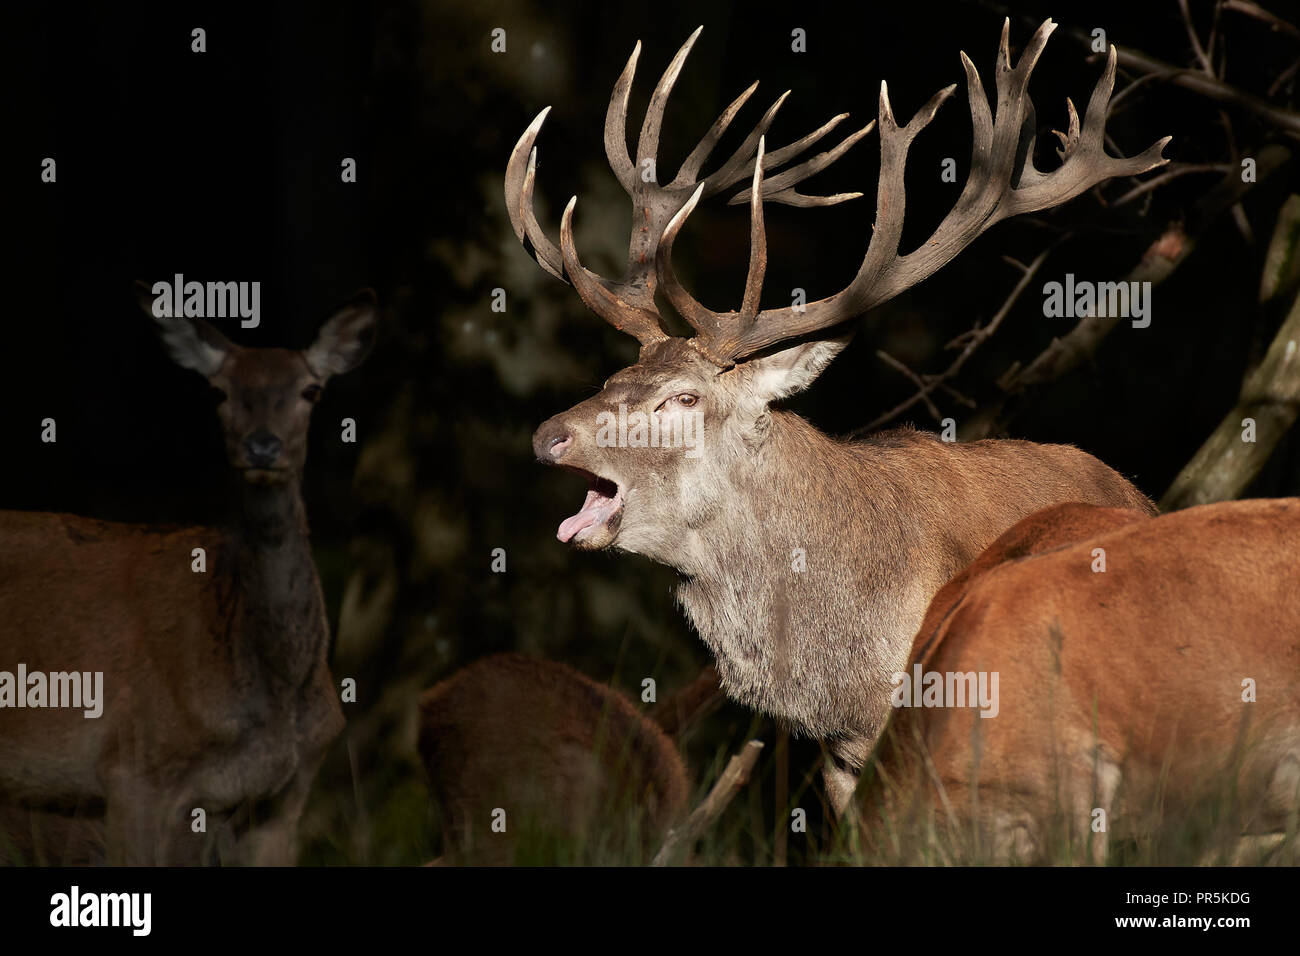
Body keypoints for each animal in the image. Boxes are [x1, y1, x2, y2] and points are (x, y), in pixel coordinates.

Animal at [508, 19, 1169, 815]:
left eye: (684, 399)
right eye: (612, 377)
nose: (548, 436)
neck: (852, 674)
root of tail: (1144, 495)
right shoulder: (840, 760)